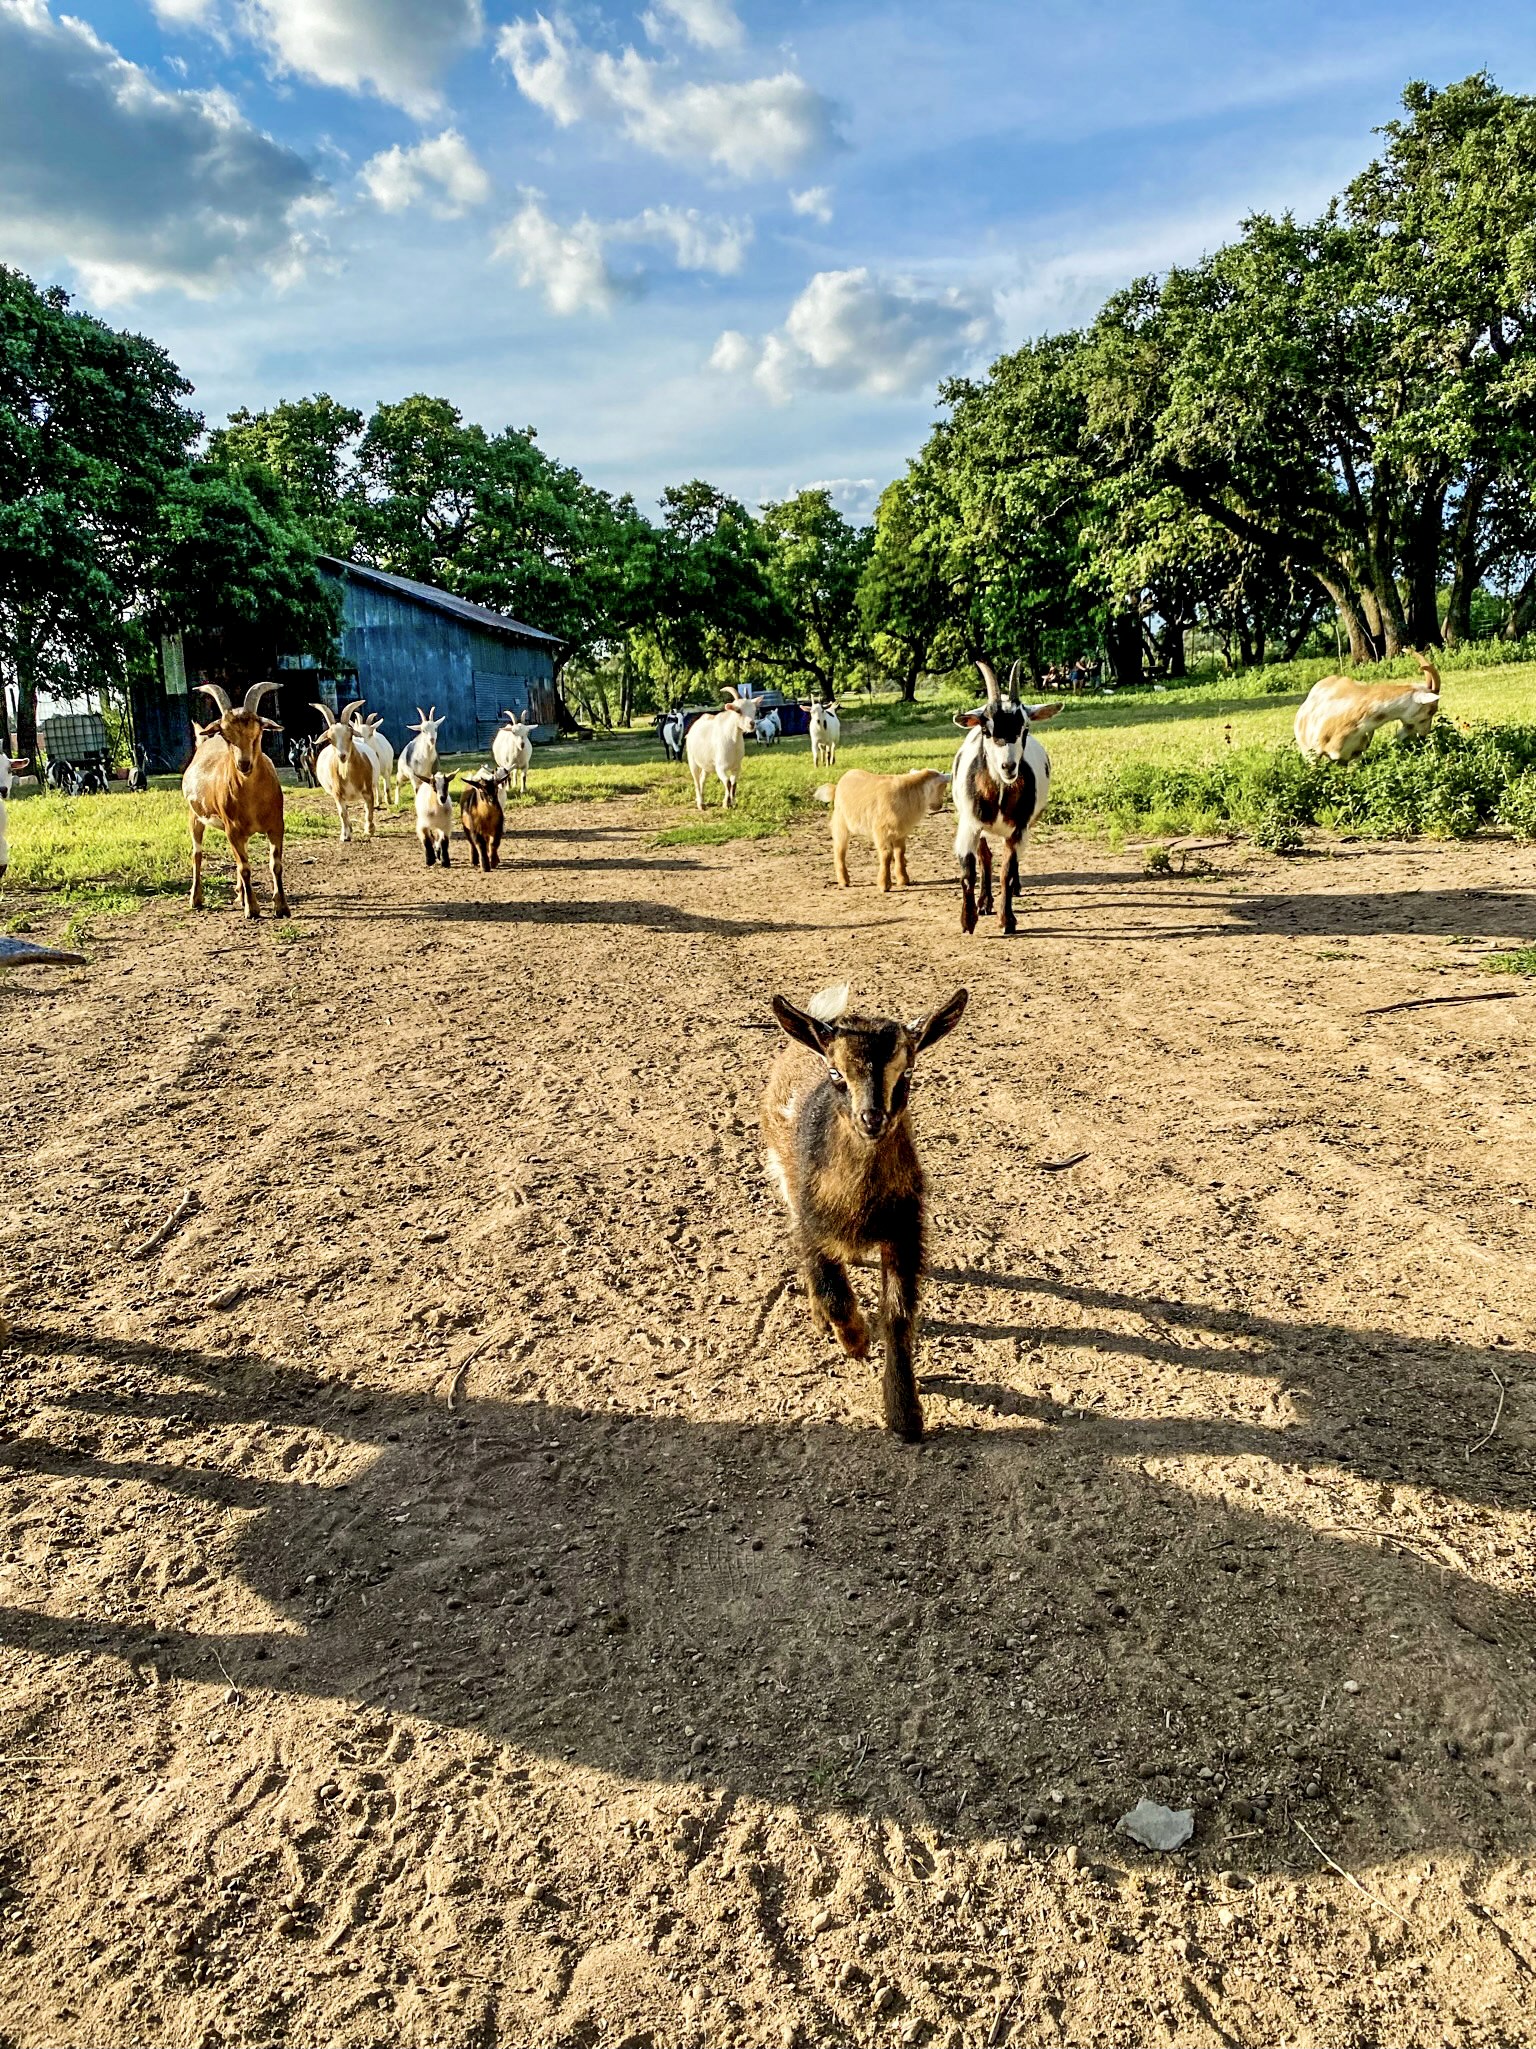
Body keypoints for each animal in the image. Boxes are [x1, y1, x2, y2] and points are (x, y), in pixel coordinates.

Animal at [182, 682, 289, 918]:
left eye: (258, 733)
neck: (253, 801)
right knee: (197, 854)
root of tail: (204, 741)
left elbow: (275, 864)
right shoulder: (232, 830)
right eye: (226, 735)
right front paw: (253, 909)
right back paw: (196, 898)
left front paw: (281, 907)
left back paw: (240, 894)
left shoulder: (276, 825)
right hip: (195, 816)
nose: (244, 764)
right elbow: (244, 867)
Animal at [313, 698, 376, 843]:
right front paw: (345, 835)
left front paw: (369, 829)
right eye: (330, 739)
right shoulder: (337, 793)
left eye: (350, 735)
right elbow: (342, 813)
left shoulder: (368, 790)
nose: (342, 756)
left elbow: (369, 809)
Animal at [762, 983, 968, 1441]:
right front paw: (855, 1342)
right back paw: (823, 1320)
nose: (872, 1118)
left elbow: (898, 1314)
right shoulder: (812, 1225)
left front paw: (905, 1416)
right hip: (785, 1175)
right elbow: (833, 1291)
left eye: (907, 1072)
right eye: (836, 1074)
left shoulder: (905, 1233)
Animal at [818, 768, 950, 891]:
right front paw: (884, 885)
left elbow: (900, 852)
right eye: (943, 786)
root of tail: (838, 785)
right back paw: (844, 880)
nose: (939, 806)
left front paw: (903, 880)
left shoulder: (900, 832)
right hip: (840, 822)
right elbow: (886, 854)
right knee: (840, 849)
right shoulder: (881, 831)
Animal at [951, 660, 1062, 935]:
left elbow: (1008, 873)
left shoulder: (1019, 829)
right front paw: (968, 919)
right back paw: (984, 902)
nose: (1008, 767)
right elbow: (969, 871)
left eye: (1025, 729)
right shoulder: (969, 824)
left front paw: (1007, 920)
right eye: (985, 730)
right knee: (985, 857)